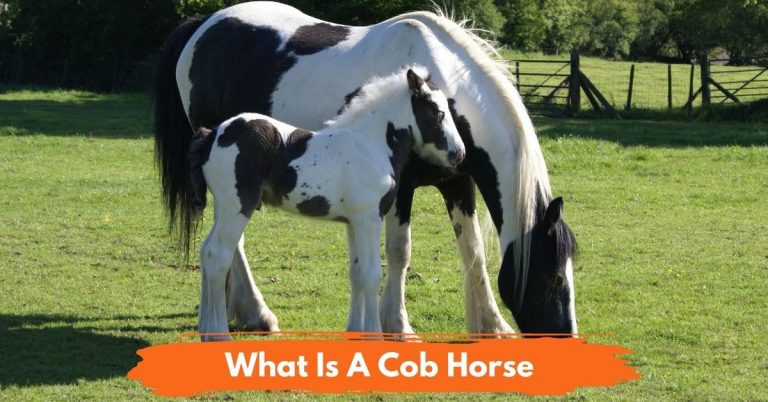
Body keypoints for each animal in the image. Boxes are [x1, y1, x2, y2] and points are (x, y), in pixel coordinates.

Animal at [185, 68, 464, 340]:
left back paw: (206, 331)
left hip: (223, 208)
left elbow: (357, 274)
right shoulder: (369, 219)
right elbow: (372, 274)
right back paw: (219, 335)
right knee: (217, 256)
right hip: (236, 207)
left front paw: (355, 332)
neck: (369, 146)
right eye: (437, 112)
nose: (459, 154)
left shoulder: (353, 223)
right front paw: (374, 336)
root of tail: (211, 136)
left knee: (206, 252)